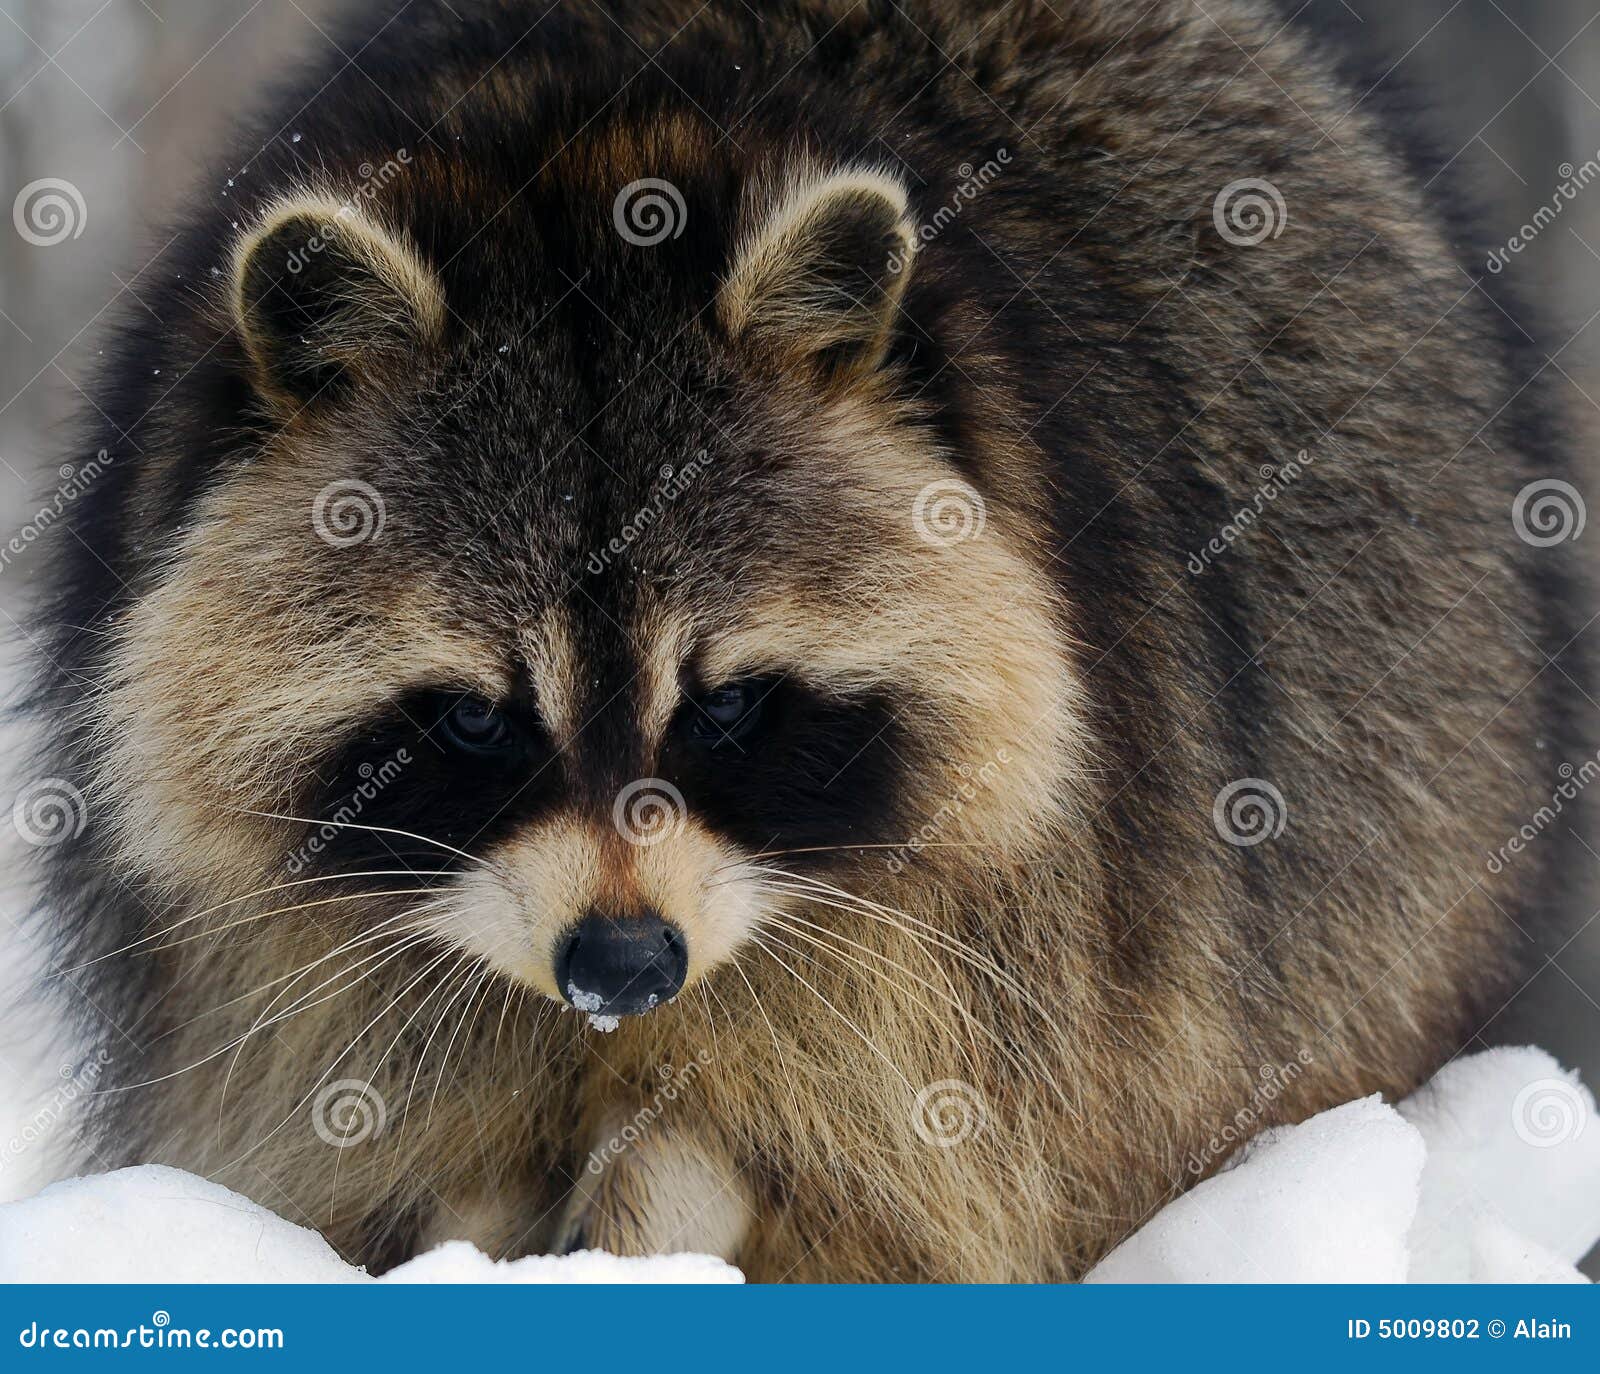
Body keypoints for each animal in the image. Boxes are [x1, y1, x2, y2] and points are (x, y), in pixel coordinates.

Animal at [27, 0, 1583, 1281]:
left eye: (726, 705)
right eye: (475, 717)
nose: (623, 966)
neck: (598, 156)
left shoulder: (999, 948)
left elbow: (869, 1167)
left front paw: (657, 1207)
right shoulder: (281, 972)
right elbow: (366, 1126)